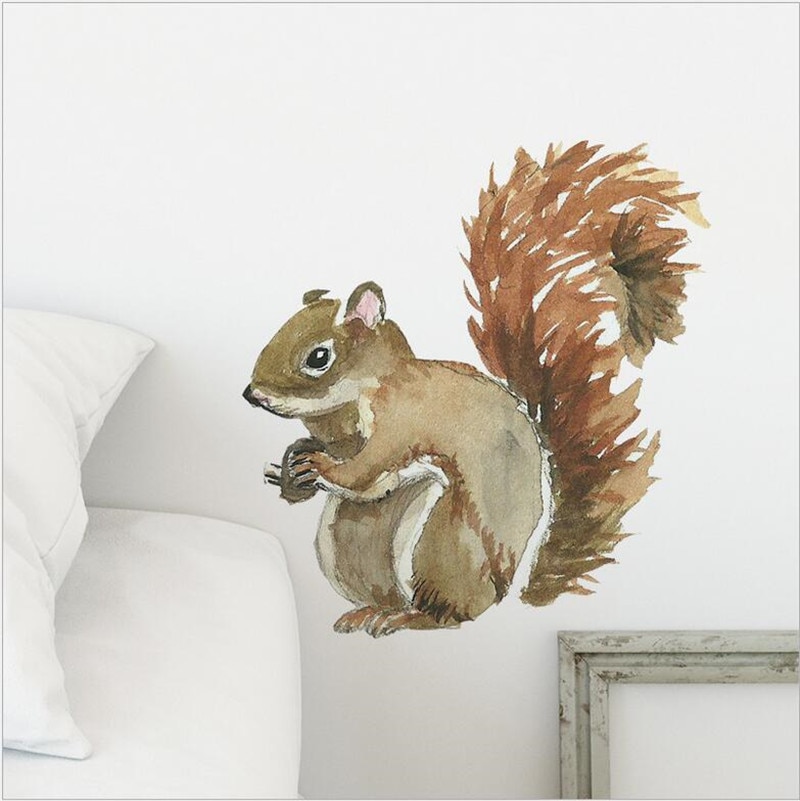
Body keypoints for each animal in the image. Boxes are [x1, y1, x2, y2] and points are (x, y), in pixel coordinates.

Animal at [244, 141, 707, 637]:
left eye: (319, 357)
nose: (252, 395)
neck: (347, 404)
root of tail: (502, 587)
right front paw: (291, 470)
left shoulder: (402, 418)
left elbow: (366, 471)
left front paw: (319, 466)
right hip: (347, 544)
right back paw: (367, 612)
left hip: (440, 545)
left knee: (448, 614)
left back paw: (408, 617)